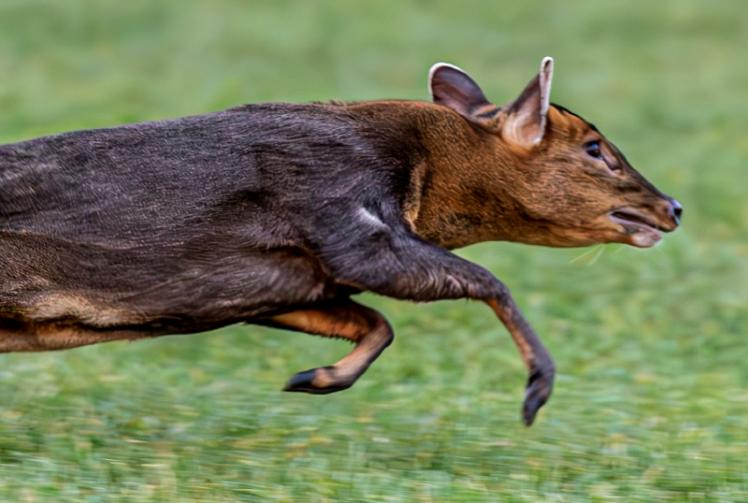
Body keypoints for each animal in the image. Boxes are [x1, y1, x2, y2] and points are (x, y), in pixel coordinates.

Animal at [0, 57, 681, 425]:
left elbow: (374, 321)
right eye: (595, 147)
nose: (672, 207)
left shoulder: (290, 283)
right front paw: (537, 389)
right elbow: (487, 279)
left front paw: (312, 378)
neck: (418, 172)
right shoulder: (340, 216)